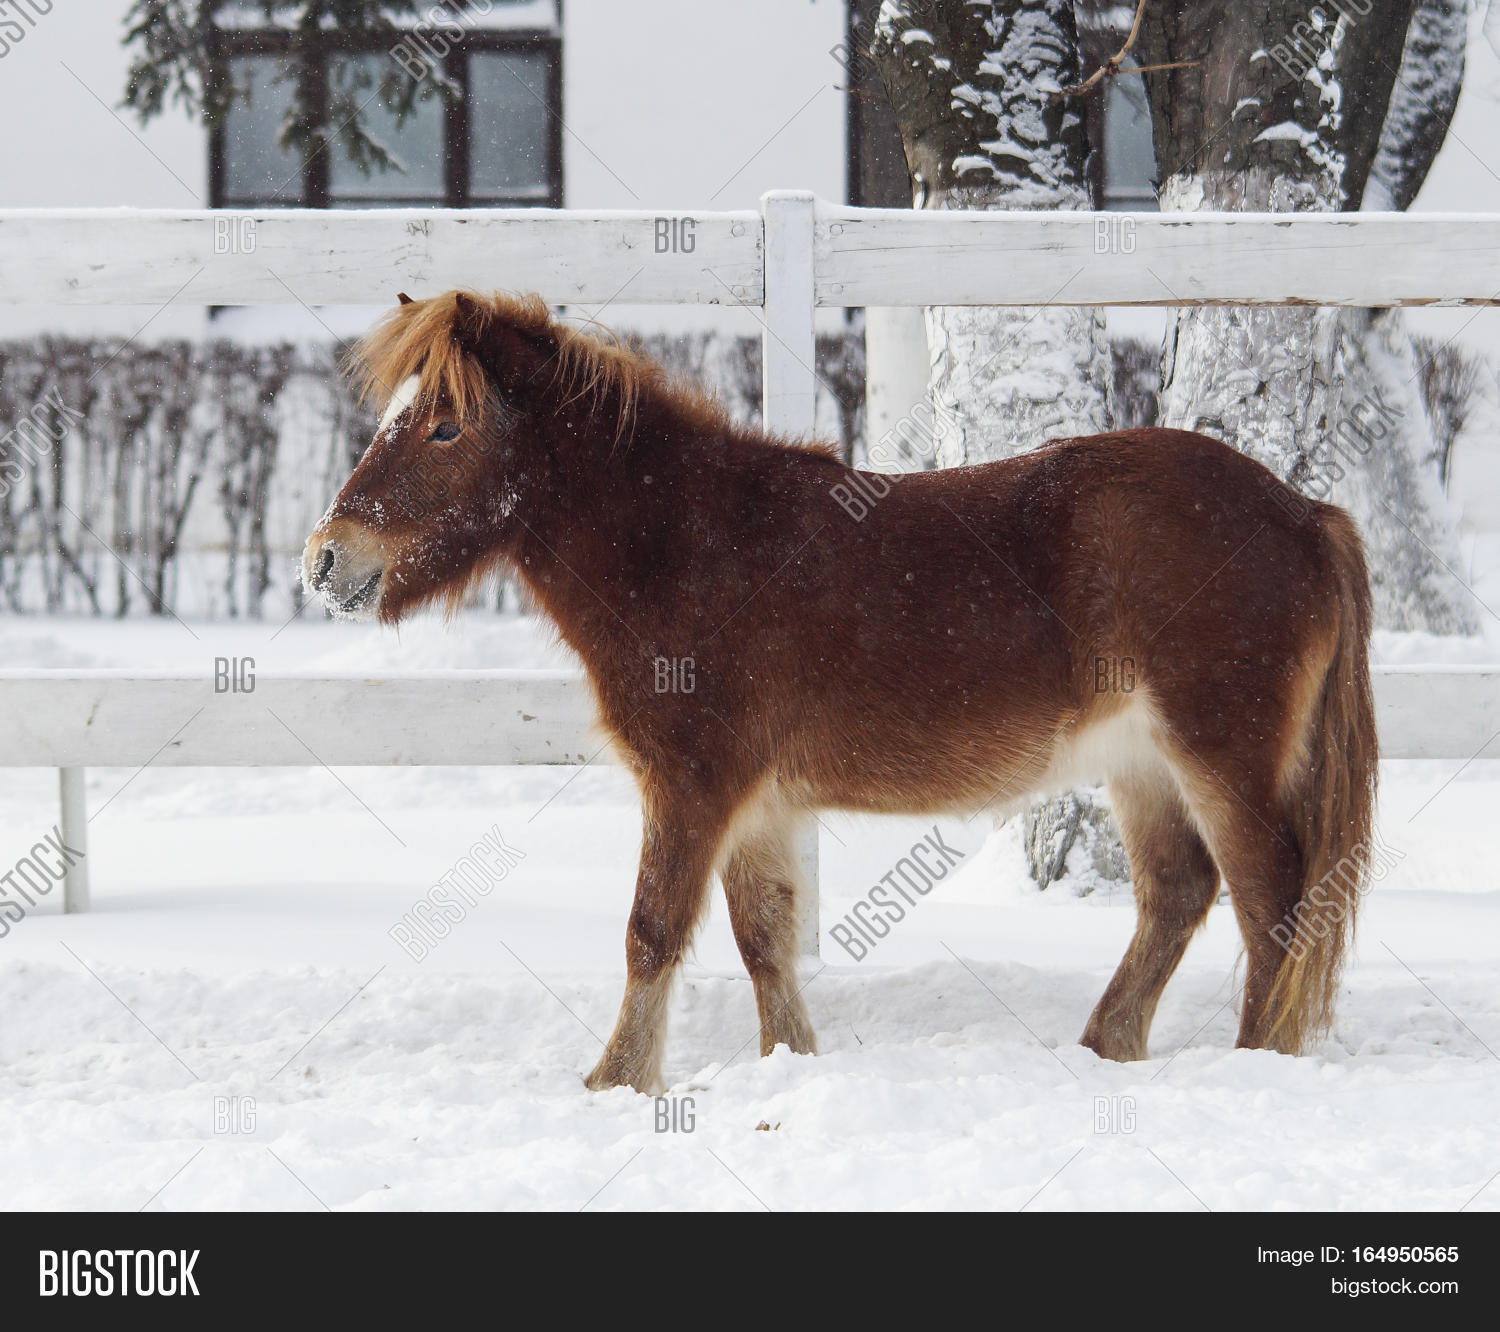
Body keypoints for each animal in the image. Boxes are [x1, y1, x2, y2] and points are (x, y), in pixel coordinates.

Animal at [303, 289, 1377, 1095]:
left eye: (445, 427)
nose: (324, 559)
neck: (690, 544)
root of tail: (1303, 511)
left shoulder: (692, 786)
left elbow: (652, 931)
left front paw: (617, 1082)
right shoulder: (760, 804)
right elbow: (763, 941)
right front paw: (788, 1063)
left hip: (1220, 759)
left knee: (1274, 904)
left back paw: (1255, 1064)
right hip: (1142, 764)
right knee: (1180, 894)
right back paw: (1106, 1049)